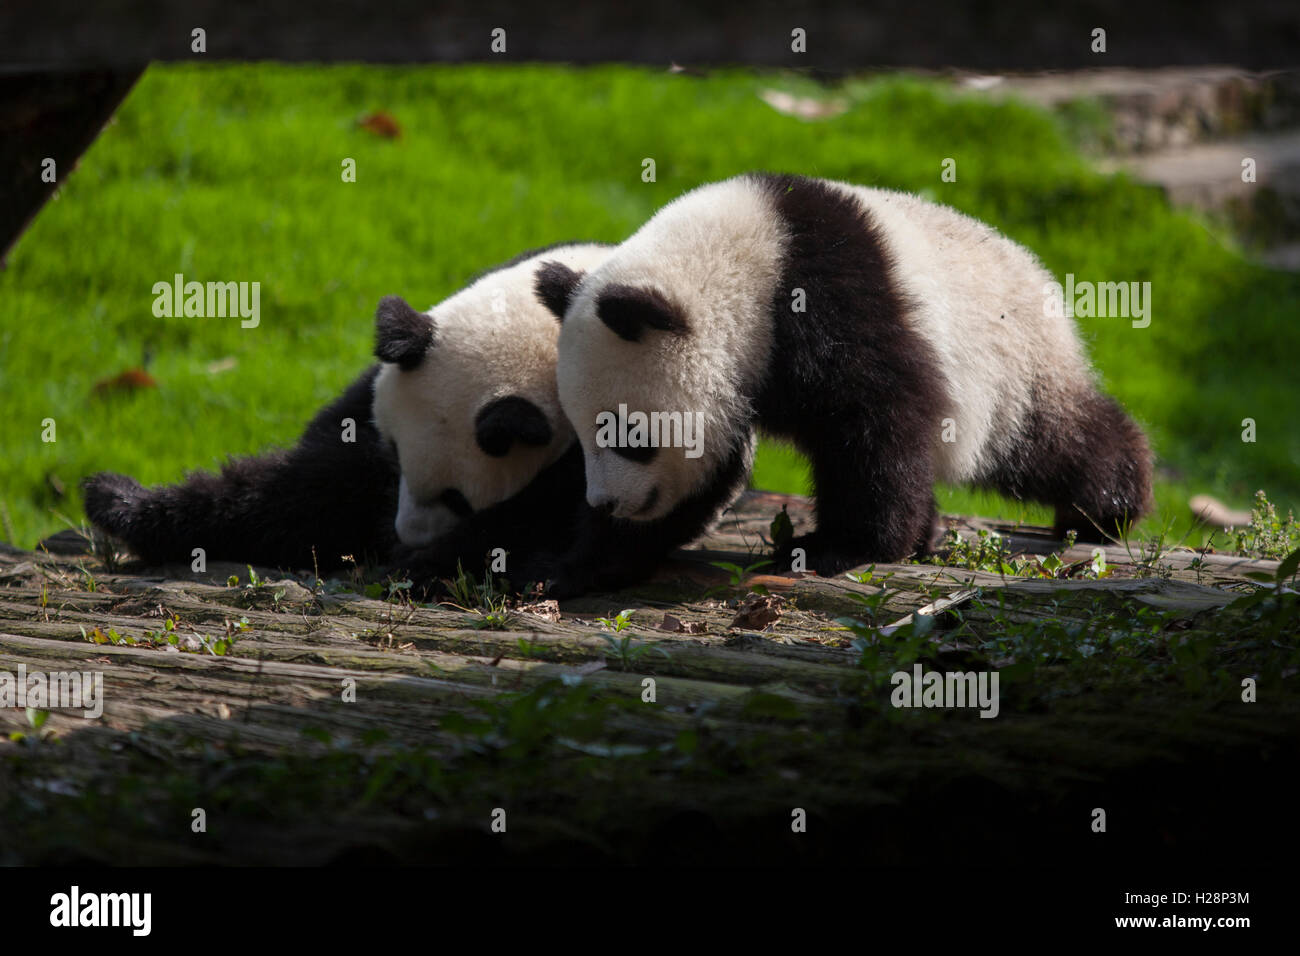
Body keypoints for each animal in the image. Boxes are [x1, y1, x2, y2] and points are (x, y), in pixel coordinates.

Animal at [83, 242, 610, 577]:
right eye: (395, 460)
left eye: (458, 498)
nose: (404, 534)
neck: (544, 325)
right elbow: (306, 487)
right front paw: (118, 499)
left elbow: (529, 519)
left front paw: (418, 564)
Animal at [533, 172, 1153, 586]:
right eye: (584, 437)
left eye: (630, 436)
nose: (608, 503)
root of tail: (1042, 277)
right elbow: (708, 470)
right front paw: (584, 561)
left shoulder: (827, 299)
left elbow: (875, 421)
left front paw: (839, 547)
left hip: (1007, 366)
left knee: (1046, 440)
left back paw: (1106, 508)